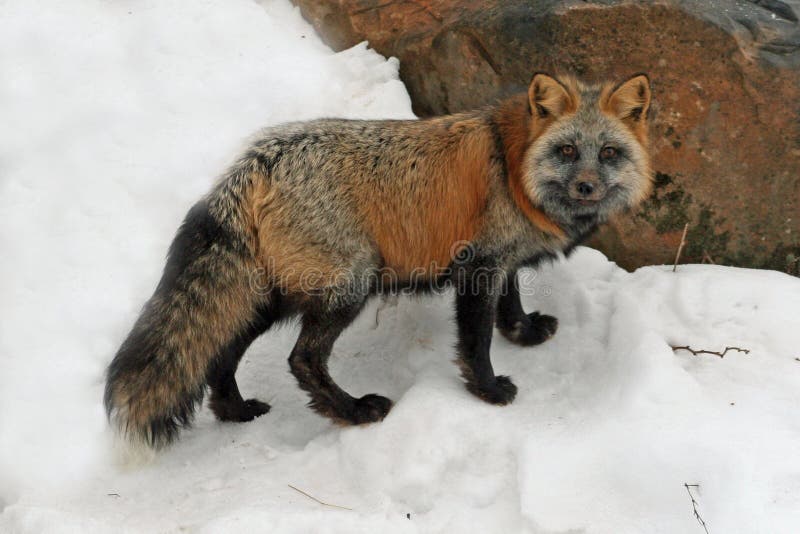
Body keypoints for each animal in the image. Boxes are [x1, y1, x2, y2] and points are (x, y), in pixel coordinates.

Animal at [105, 73, 653, 449]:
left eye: (608, 153)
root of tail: (260, 157)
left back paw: (234, 410)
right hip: (349, 285)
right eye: (567, 151)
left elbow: (511, 304)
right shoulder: (477, 267)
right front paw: (488, 391)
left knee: (221, 350)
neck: (514, 167)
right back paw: (351, 412)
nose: (587, 187)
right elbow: (476, 342)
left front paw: (523, 333)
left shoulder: (503, 260)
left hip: (271, 295)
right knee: (301, 359)